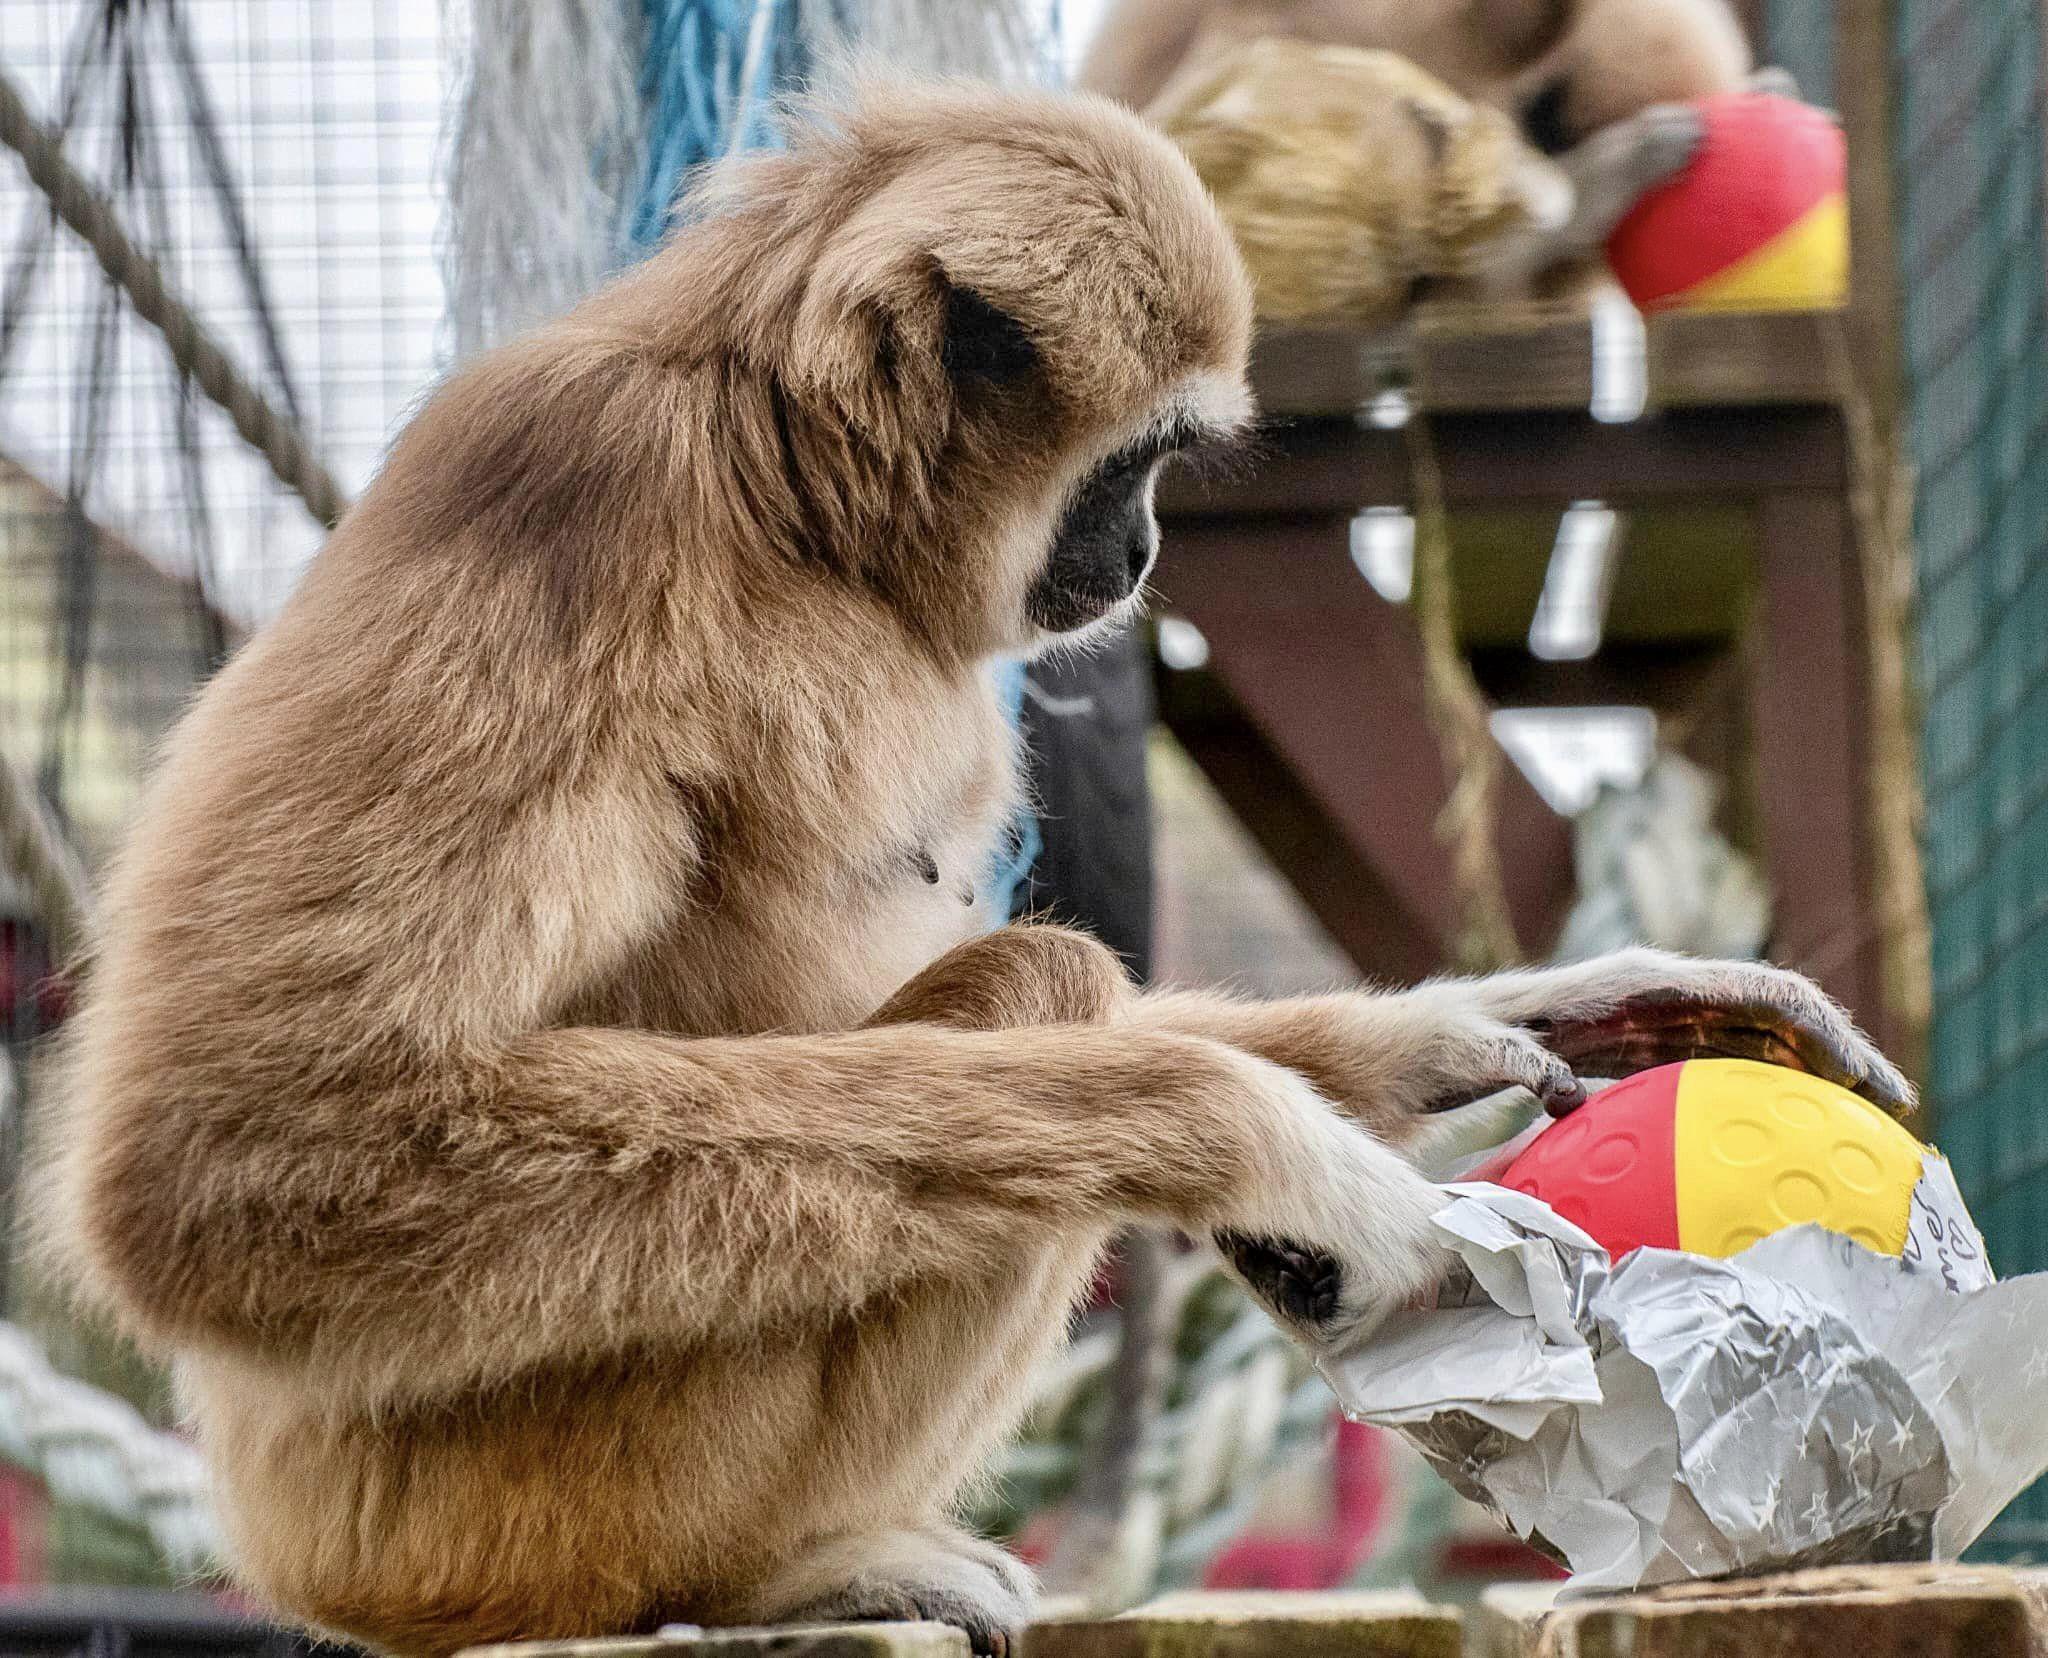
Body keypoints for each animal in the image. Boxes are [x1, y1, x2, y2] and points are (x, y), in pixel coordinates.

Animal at [40, 79, 1909, 1658]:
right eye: (1135, 463)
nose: (1142, 546)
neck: (788, 507)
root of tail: (287, 1539)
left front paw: (1478, 1026)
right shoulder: (572, 481)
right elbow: (242, 1148)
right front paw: (1268, 1140)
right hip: (476, 1501)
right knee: (1041, 984)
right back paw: (767, 1570)